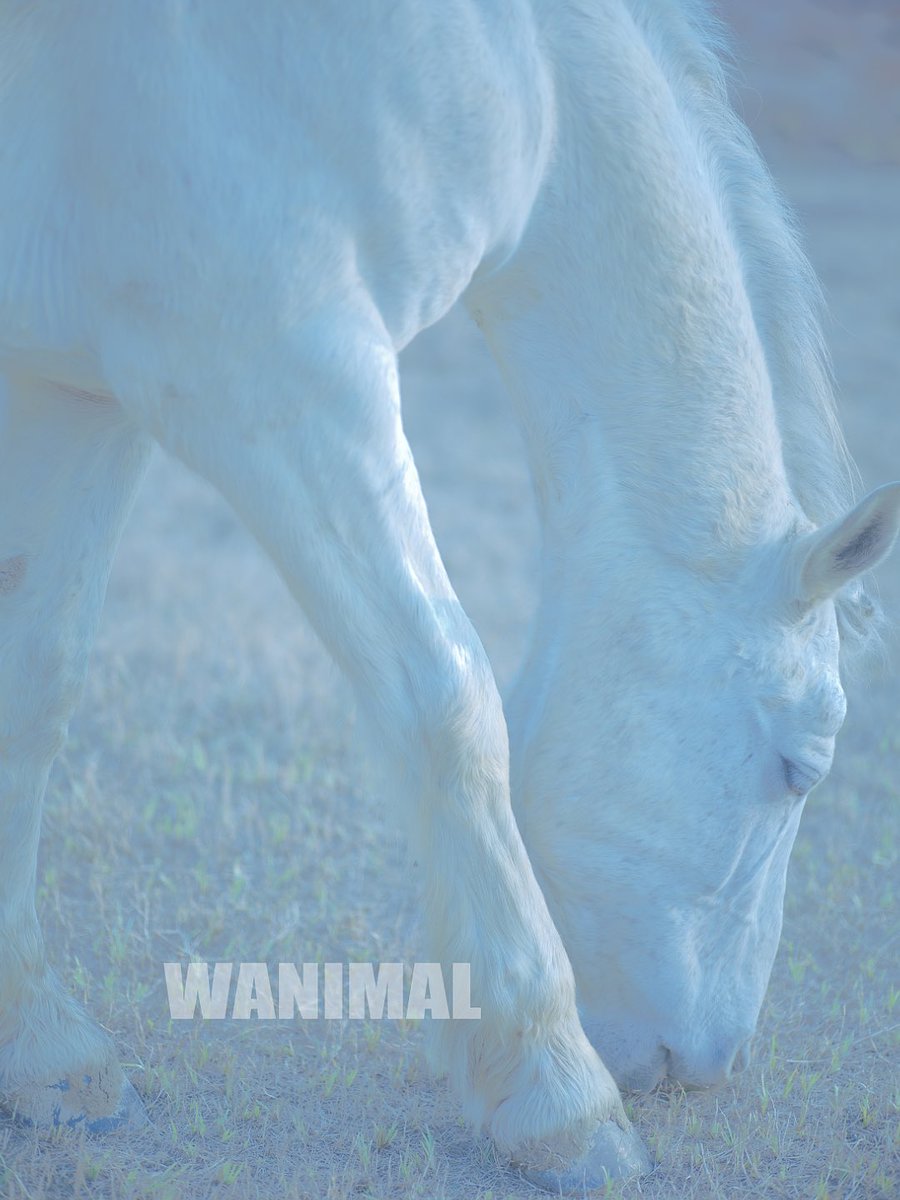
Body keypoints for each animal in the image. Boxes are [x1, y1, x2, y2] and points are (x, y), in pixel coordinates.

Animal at [0, 0, 897, 1191]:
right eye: (800, 769)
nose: (713, 1065)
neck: (522, 70)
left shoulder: (78, 387)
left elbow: (33, 688)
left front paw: (46, 1055)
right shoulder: (279, 377)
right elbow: (450, 708)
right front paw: (559, 1098)